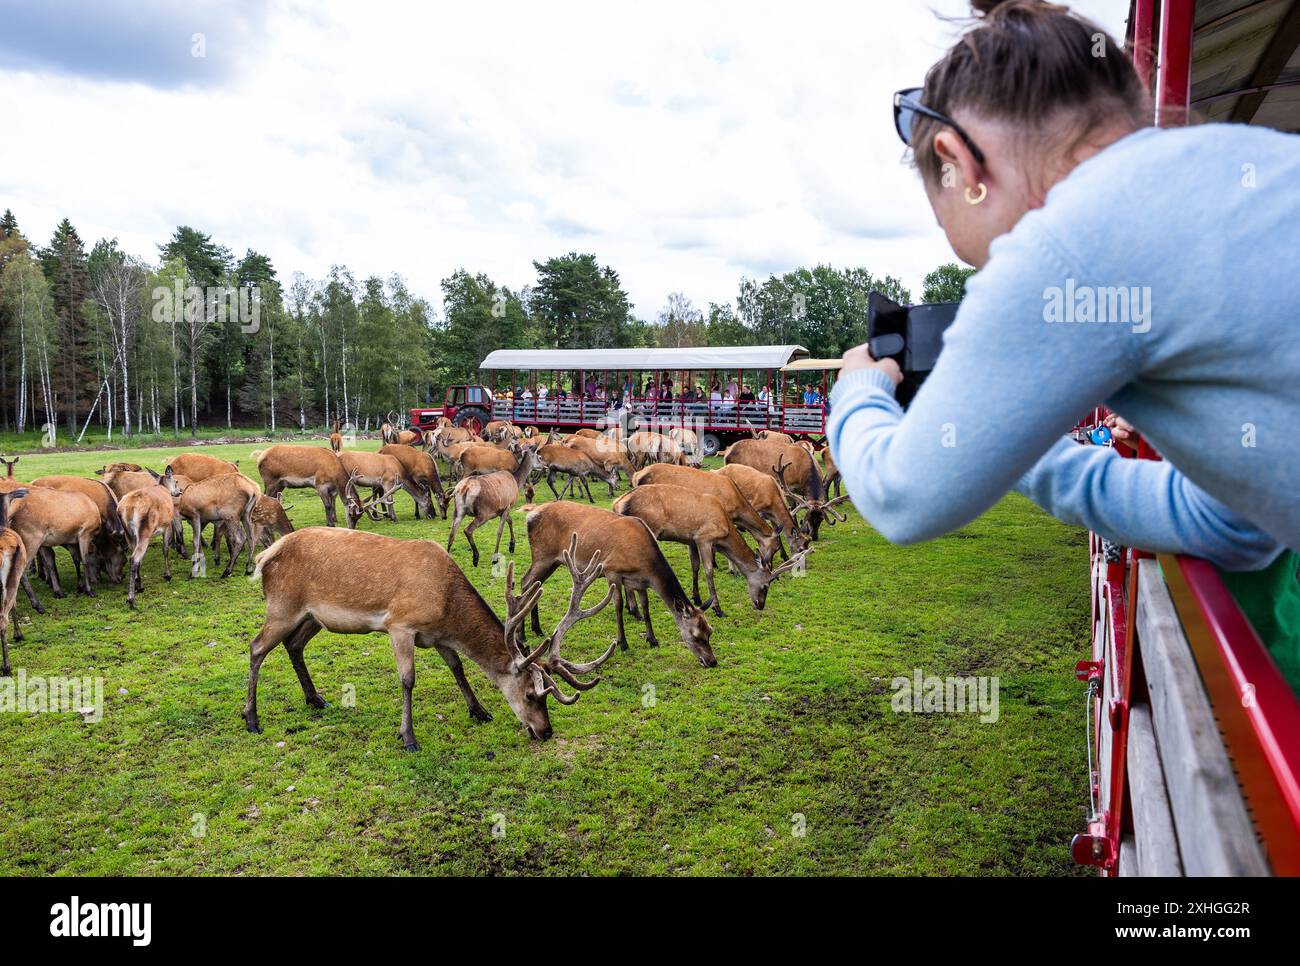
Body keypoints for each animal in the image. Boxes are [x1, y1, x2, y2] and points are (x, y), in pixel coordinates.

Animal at [117, 467, 184, 609]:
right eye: (176, 481)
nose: (179, 491)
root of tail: (128, 508)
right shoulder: (166, 525)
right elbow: (165, 549)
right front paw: (167, 575)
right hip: (145, 531)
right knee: (134, 558)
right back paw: (131, 599)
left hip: (129, 534)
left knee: (135, 557)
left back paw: (139, 586)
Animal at [247, 527, 617, 748]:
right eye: (531, 695)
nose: (545, 731)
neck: (446, 606)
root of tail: (265, 555)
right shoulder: (400, 625)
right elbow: (408, 680)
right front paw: (408, 736)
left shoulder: (438, 636)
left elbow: (458, 669)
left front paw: (480, 711)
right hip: (281, 607)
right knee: (256, 648)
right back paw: (251, 719)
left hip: (313, 616)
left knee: (293, 645)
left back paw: (315, 699)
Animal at [519, 501, 716, 666]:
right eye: (695, 636)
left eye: (710, 631)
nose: (712, 662)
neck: (644, 562)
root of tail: (530, 514)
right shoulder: (612, 571)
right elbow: (619, 605)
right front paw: (623, 643)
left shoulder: (640, 582)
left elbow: (646, 607)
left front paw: (652, 639)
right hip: (542, 555)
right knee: (525, 582)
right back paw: (521, 635)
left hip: (552, 561)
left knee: (535, 585)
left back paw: (537, 629)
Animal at [612, 484, 810, 617]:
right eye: (766, 585)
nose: (760, 605)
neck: (725, 530)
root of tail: (618, 503)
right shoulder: (704, 538)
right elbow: (708, 570)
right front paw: (717, 608)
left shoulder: (691, 540)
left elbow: (695, 566)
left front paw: (697, 598)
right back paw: (634, 609)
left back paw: (631, 608)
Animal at [631, 463, 782, 567]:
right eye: (775, 548)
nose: (769, 565)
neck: (738, 507)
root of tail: (636, 475)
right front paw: (730, 569)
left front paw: (715, 563)